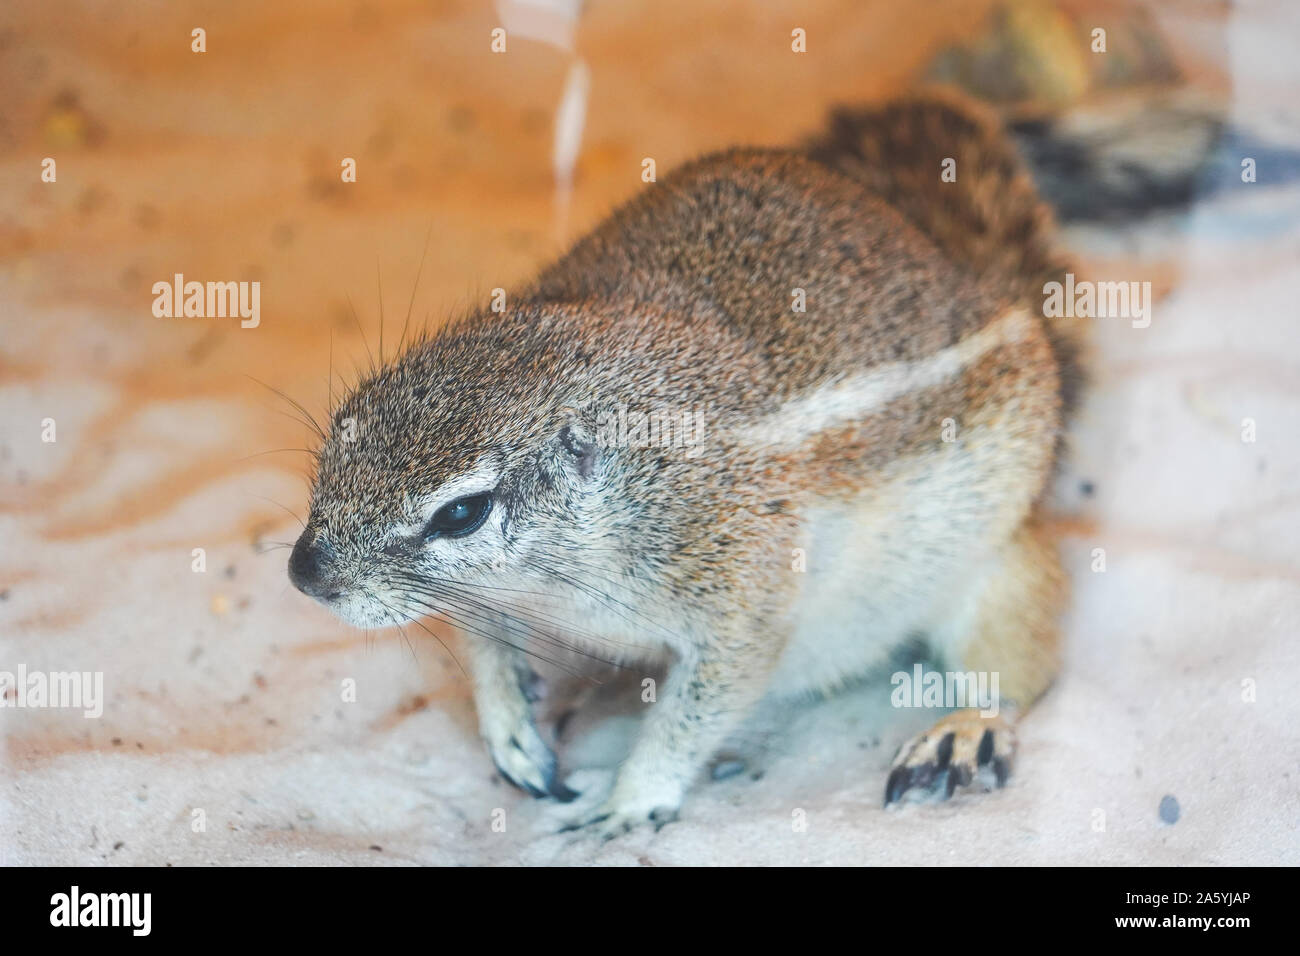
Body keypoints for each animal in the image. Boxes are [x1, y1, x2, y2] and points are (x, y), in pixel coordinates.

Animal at [288, 92, 1087, 837]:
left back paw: (965, 730)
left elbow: (698, 709)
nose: (304, 573)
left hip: (998, 564)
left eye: (462, 512)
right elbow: (481, 641)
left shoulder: (741, 591)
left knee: (1017, 667)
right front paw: (510, 723)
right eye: (343, 423)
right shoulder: (495, 599)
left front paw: (630, 801)